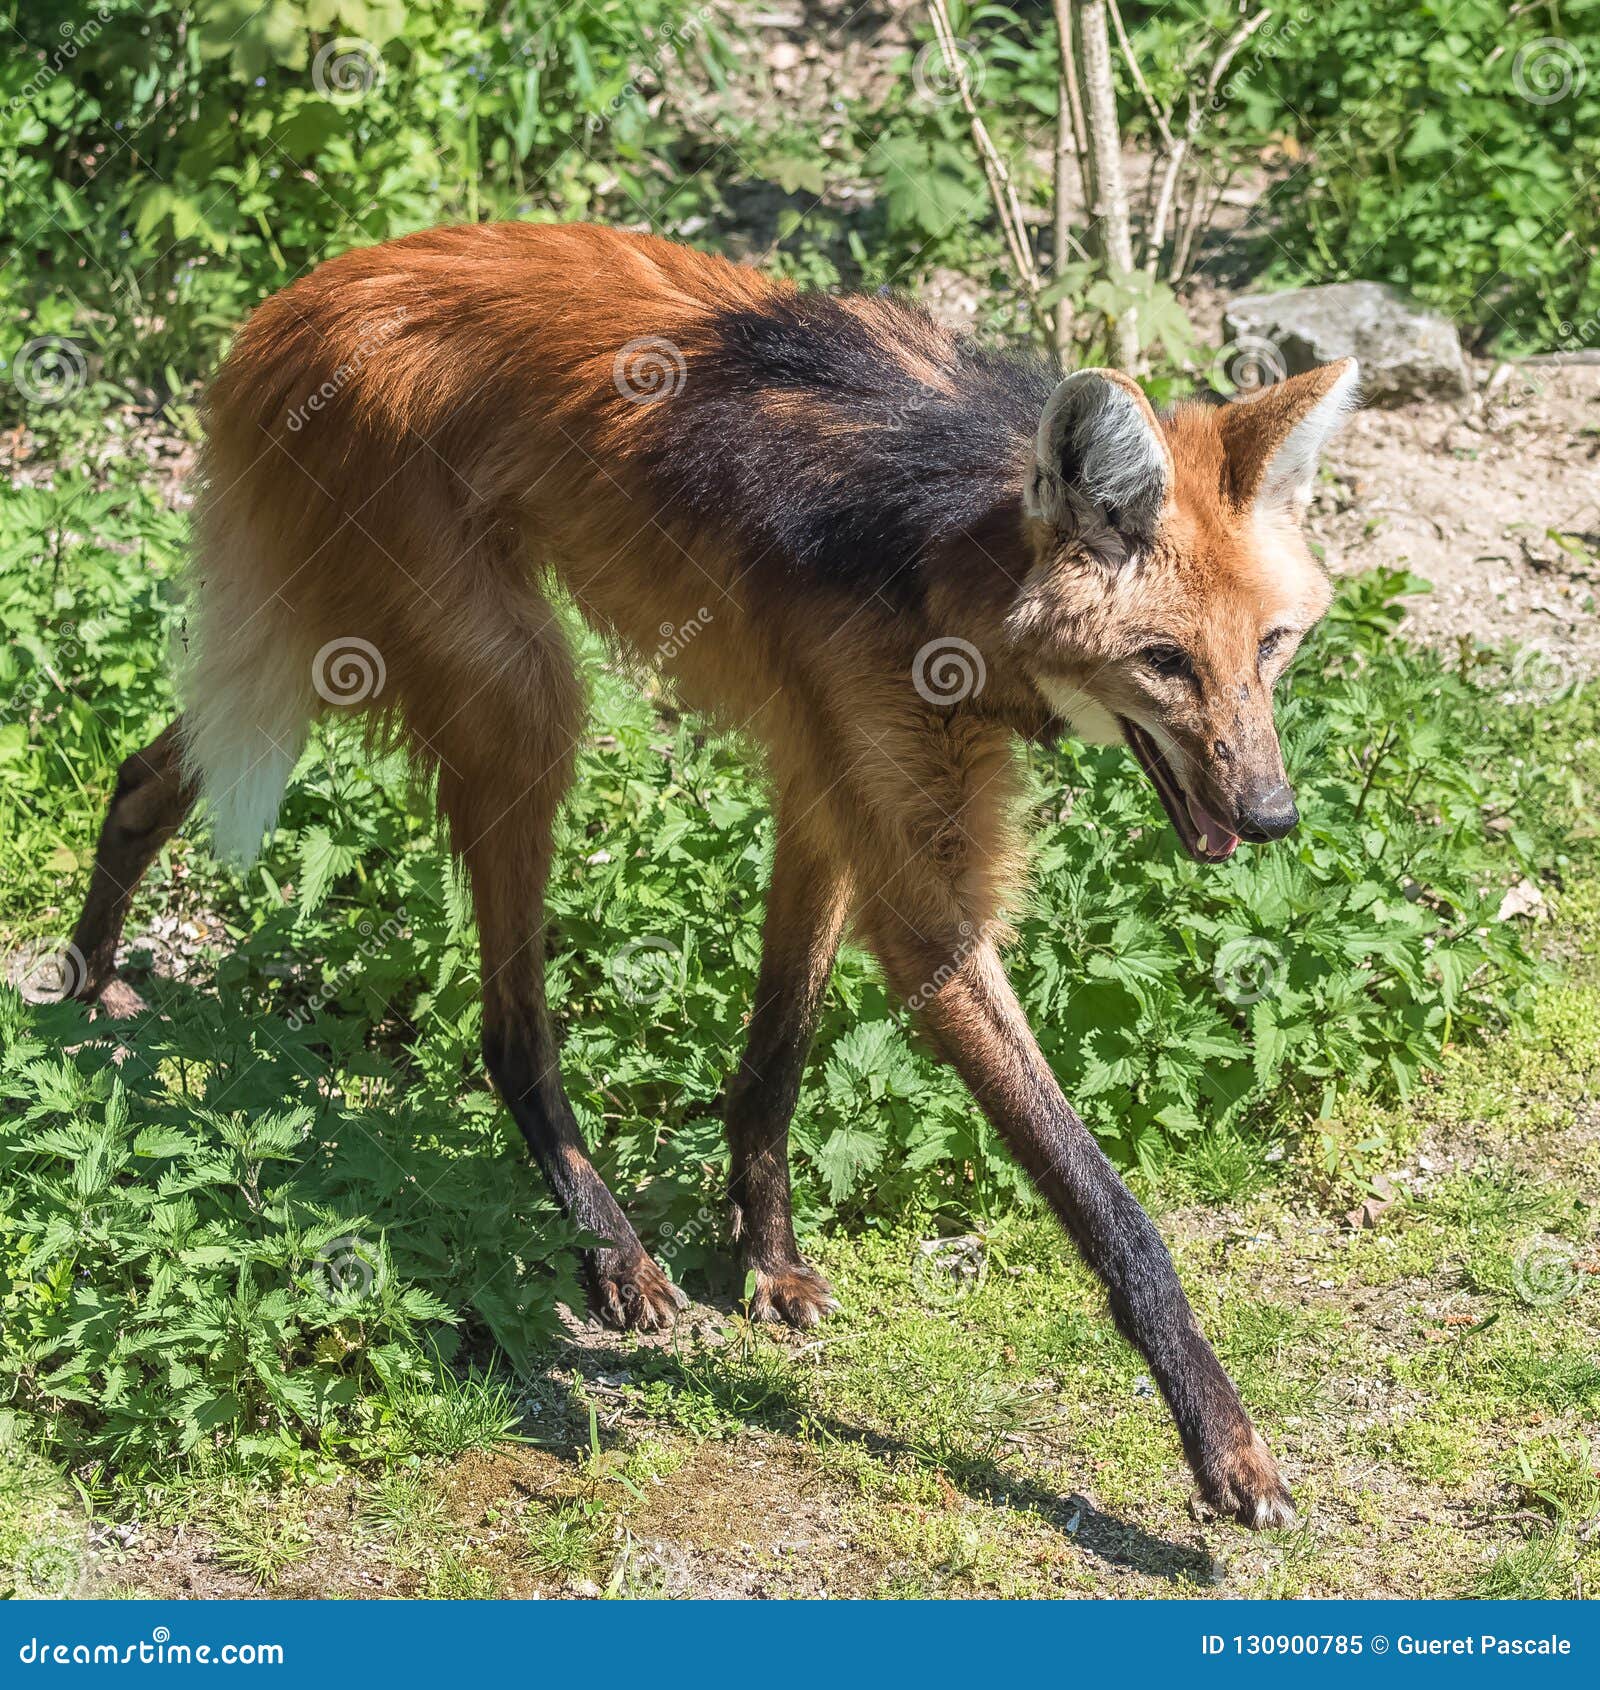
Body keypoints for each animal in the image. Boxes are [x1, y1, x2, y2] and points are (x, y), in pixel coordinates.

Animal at [62, 223, 1357, 1527]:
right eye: (1165, 662)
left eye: (1271, 648)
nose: (1271, 816)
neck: (950, 559)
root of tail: (294, 304)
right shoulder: (917, 894)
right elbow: (1106, 1201)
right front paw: (1224, 1446)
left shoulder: (824, 783)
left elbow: (775, 1058)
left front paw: (767, 1261)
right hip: (512, 687)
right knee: (506, 1018)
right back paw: (612, 1250)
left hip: (360, 645)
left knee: (151, 769)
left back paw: (85, 979)